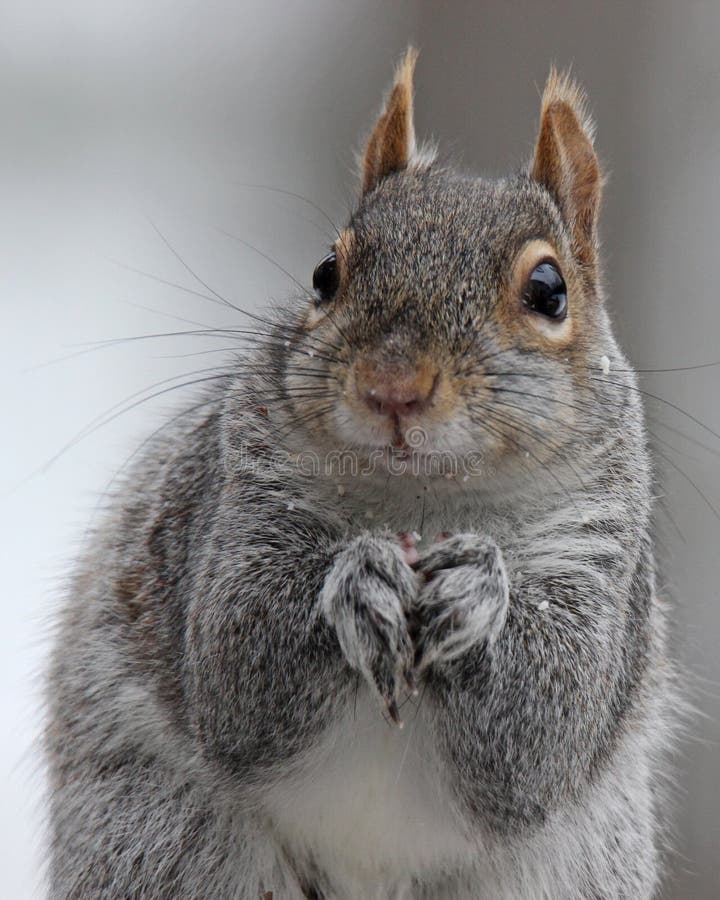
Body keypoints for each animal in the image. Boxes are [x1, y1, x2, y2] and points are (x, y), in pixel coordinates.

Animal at [45, 49, 672, 899]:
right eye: (325, 273)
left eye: (549, 291)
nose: (392, 387)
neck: (424, 500)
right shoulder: (236, 498)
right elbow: (235, 659)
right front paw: (359, 578)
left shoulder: (599, 556)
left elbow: (543, 735)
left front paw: (478, 588)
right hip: (157, 834)